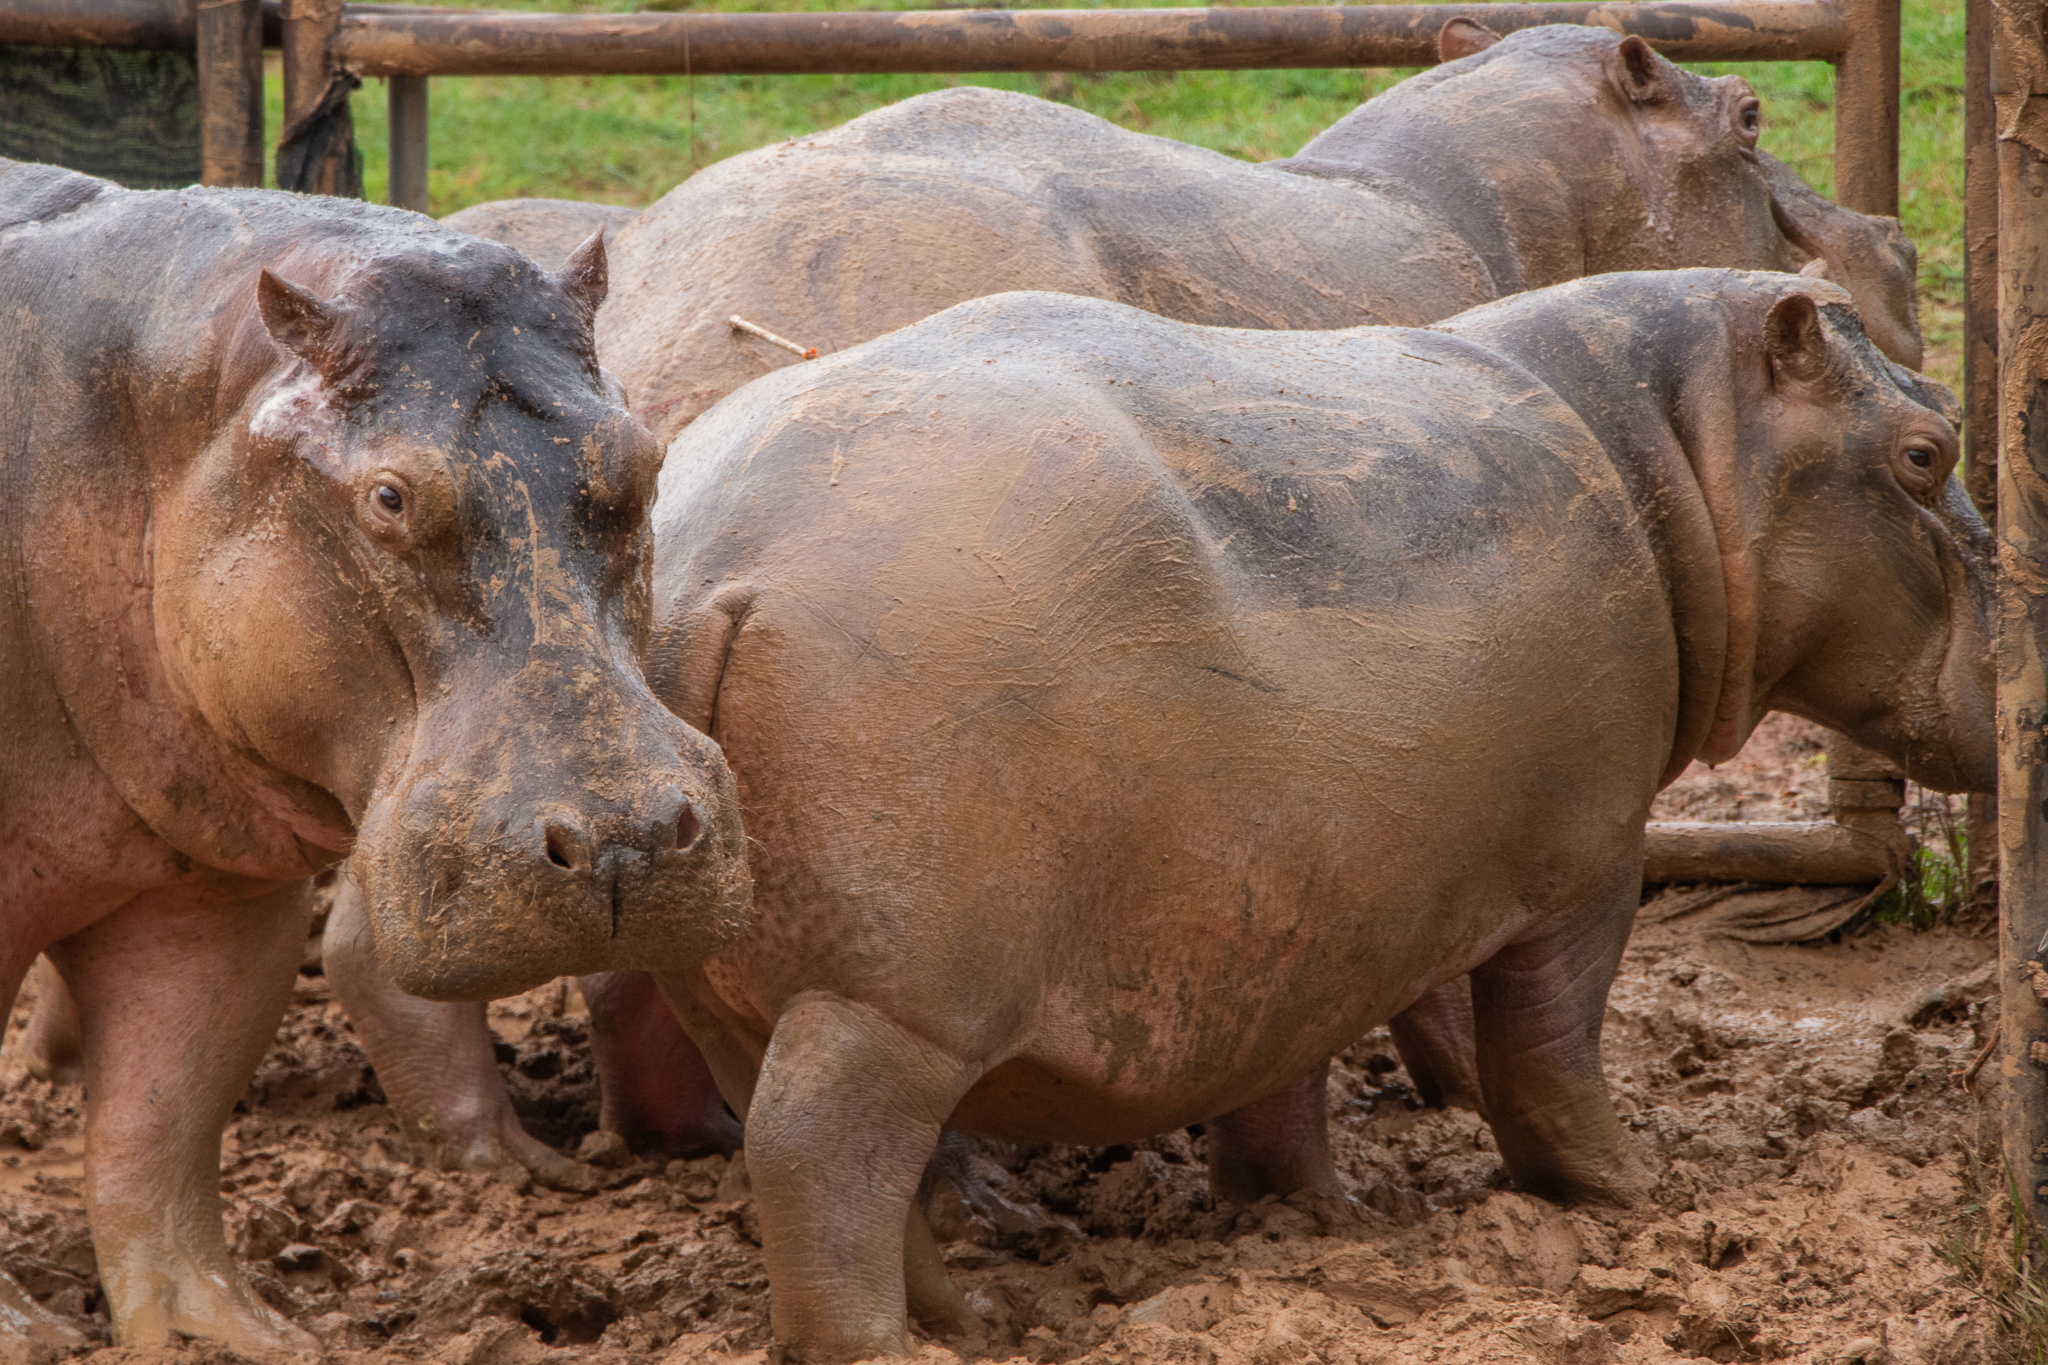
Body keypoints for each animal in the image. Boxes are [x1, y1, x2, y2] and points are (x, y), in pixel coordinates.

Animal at [0, 159, 749, 1354]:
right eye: (388, 495)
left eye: (641, 461)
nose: (625, 841)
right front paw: (30, 1337)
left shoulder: (216, 897)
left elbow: (162, 1125)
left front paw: (234, 1334)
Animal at [635, 270, 1987, 1359]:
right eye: (1926, 450)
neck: (1674, 444)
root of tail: (715, 572)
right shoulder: (1589, 859)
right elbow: (1546, 1050)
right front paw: (1632, 1198)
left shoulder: (1282, 898)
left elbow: (1281, 1068)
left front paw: (1309, 1222)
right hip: (891, 1007)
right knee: (821, 1159)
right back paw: (879, 1347)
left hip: (745, 992)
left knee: (811, 1153)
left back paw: (969, 1324)